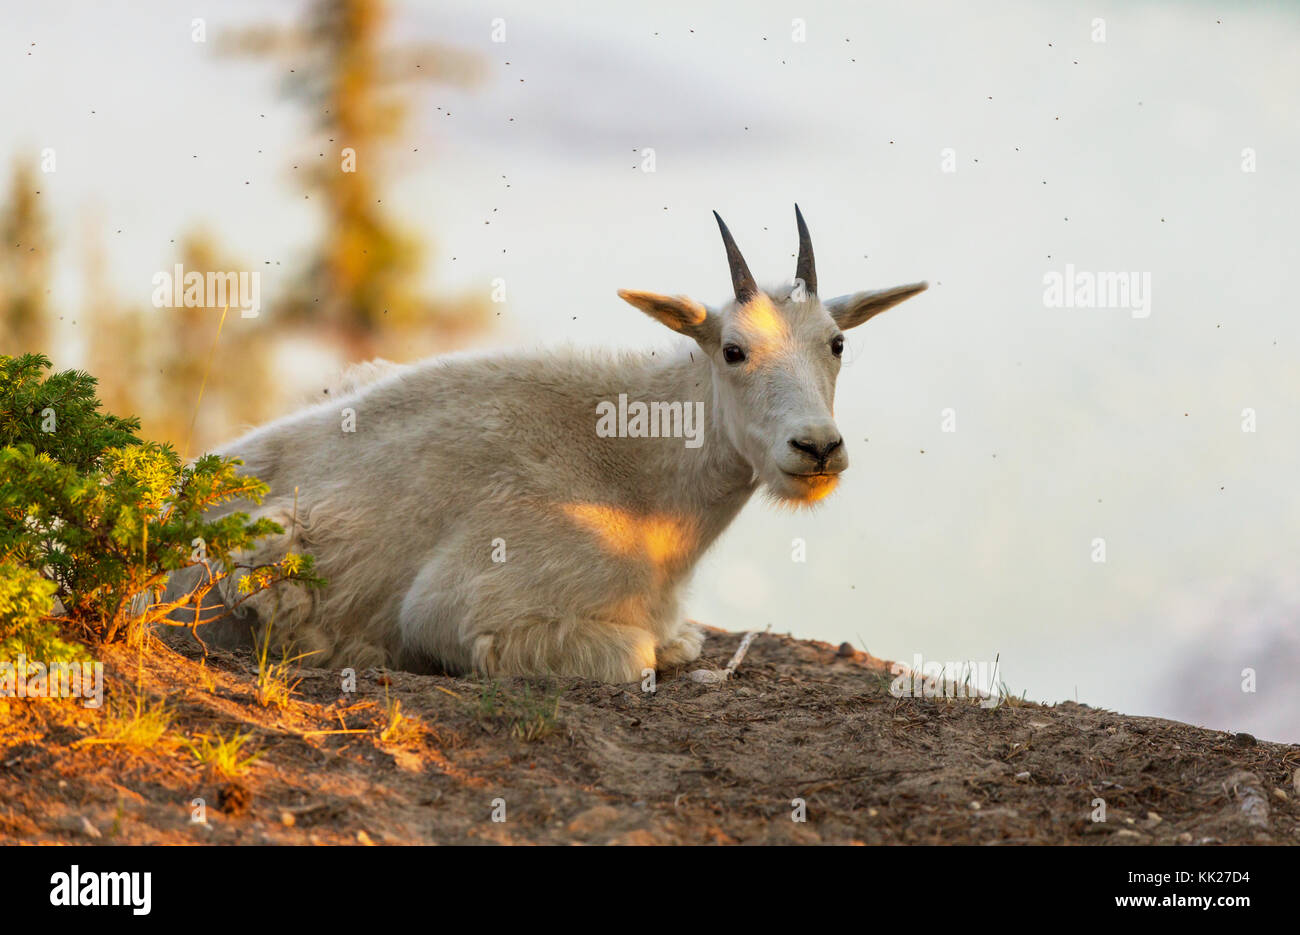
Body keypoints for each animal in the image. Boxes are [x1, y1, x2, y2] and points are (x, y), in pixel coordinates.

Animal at [162, 207, 927, 682]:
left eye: (836, 342)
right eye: (734, 350)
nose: (817, 448)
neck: (640, 481)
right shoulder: (465, 608)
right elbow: (639, 654)